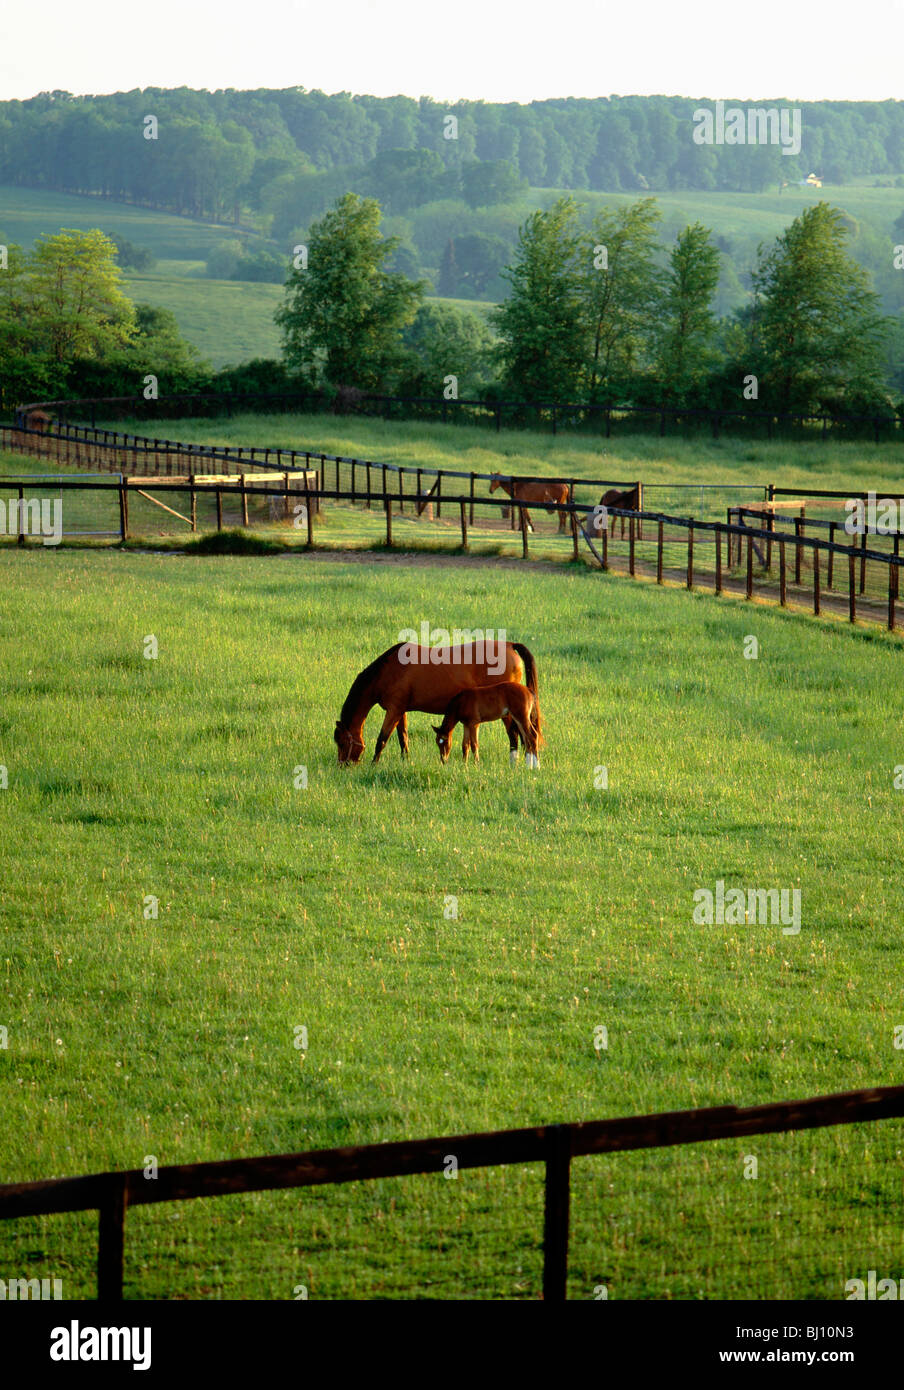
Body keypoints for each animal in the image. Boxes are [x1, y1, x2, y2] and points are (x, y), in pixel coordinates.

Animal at [334, 641, 540, 765]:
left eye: (342, 743)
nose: (343, 765)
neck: (390, 670)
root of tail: (509, 645)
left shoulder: (393, 710)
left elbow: (382, 739)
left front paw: (374, 764)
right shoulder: (400, 710)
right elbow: (403, 737)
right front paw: (405, 760)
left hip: (509, 713)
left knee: (515, 735)